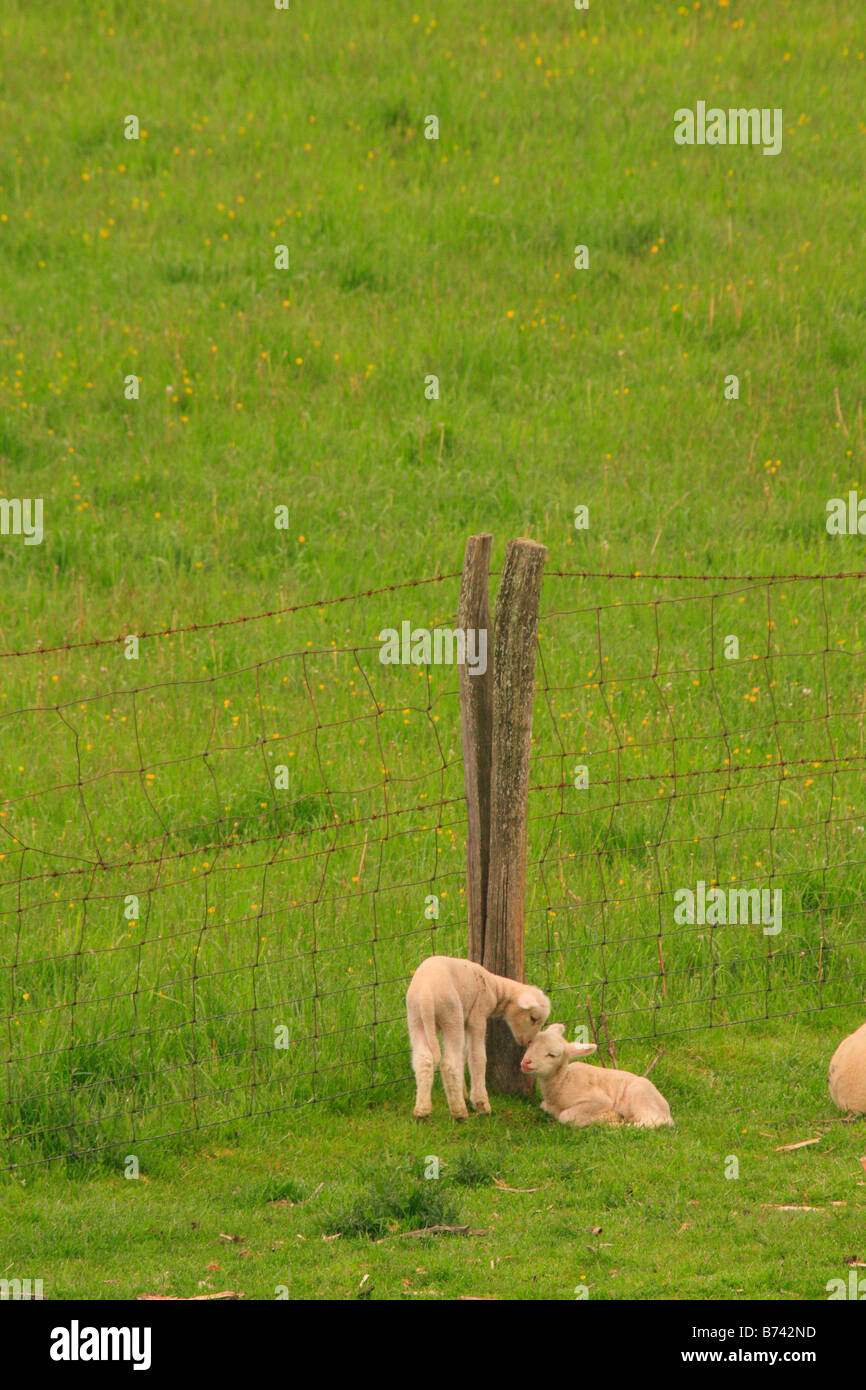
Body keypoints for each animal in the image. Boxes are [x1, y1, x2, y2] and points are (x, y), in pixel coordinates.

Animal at [406, 955, 551, 1119]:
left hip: (416, 1018)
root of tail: (427, 996)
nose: (529, 1041)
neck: (495, 988)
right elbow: (477, 1057)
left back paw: (422, 1111)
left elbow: (464, 1054)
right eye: (533, 1018)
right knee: (449, 1063)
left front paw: (464, 1093)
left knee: (423, 1060)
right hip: (451, 1015)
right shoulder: (478, 1015)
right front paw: (481, 1103)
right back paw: (459, 1112)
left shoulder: (465, 1020)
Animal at [521, 1023, 674, 1129]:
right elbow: (545, 1107)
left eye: (552, 1055)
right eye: (529, 1044)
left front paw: (599, 1118)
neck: (563, 1081)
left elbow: (565, 1116)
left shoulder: (600, 1100)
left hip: (640, 1094)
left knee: (652, 1121)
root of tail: (666, 1111)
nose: (526, 1062)